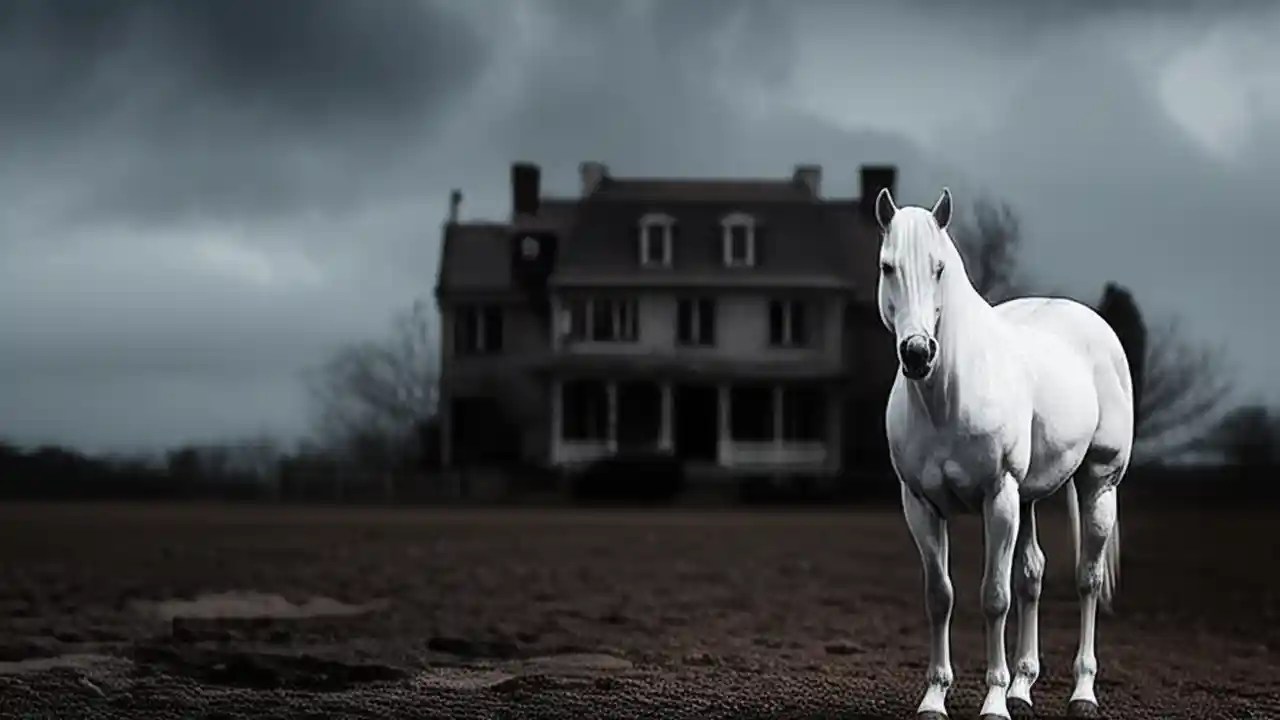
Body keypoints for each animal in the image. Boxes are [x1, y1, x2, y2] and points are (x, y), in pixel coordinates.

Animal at [874, 187, 1132, 720]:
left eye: (939, 267)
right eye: (888, 267)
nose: (917, 354)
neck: (948, 397)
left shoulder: (999, 498)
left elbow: (994, 597)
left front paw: (993, 701)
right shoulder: (920, 505)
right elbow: (940, 596)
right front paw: (935, 697)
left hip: (1098, 484)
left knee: (1088, 579)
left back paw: (1081, 692)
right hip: (1029, 499)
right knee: (1032, 575)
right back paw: (1023, 686)